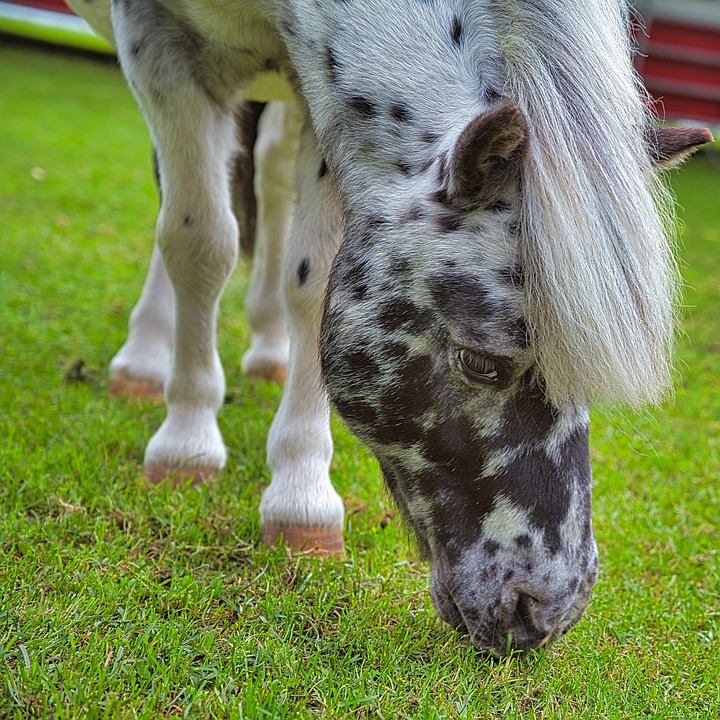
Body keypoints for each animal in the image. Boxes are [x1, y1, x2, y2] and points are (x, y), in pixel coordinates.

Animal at [66, 0, 711, 656]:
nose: (547, 610)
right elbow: (199, 243)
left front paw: (301, 496)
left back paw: (269, 348)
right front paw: (188, 442)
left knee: (269, 177)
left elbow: (312, 281)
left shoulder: (322, 99)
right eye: (481, 362)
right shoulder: (156, 46)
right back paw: (145, 358)